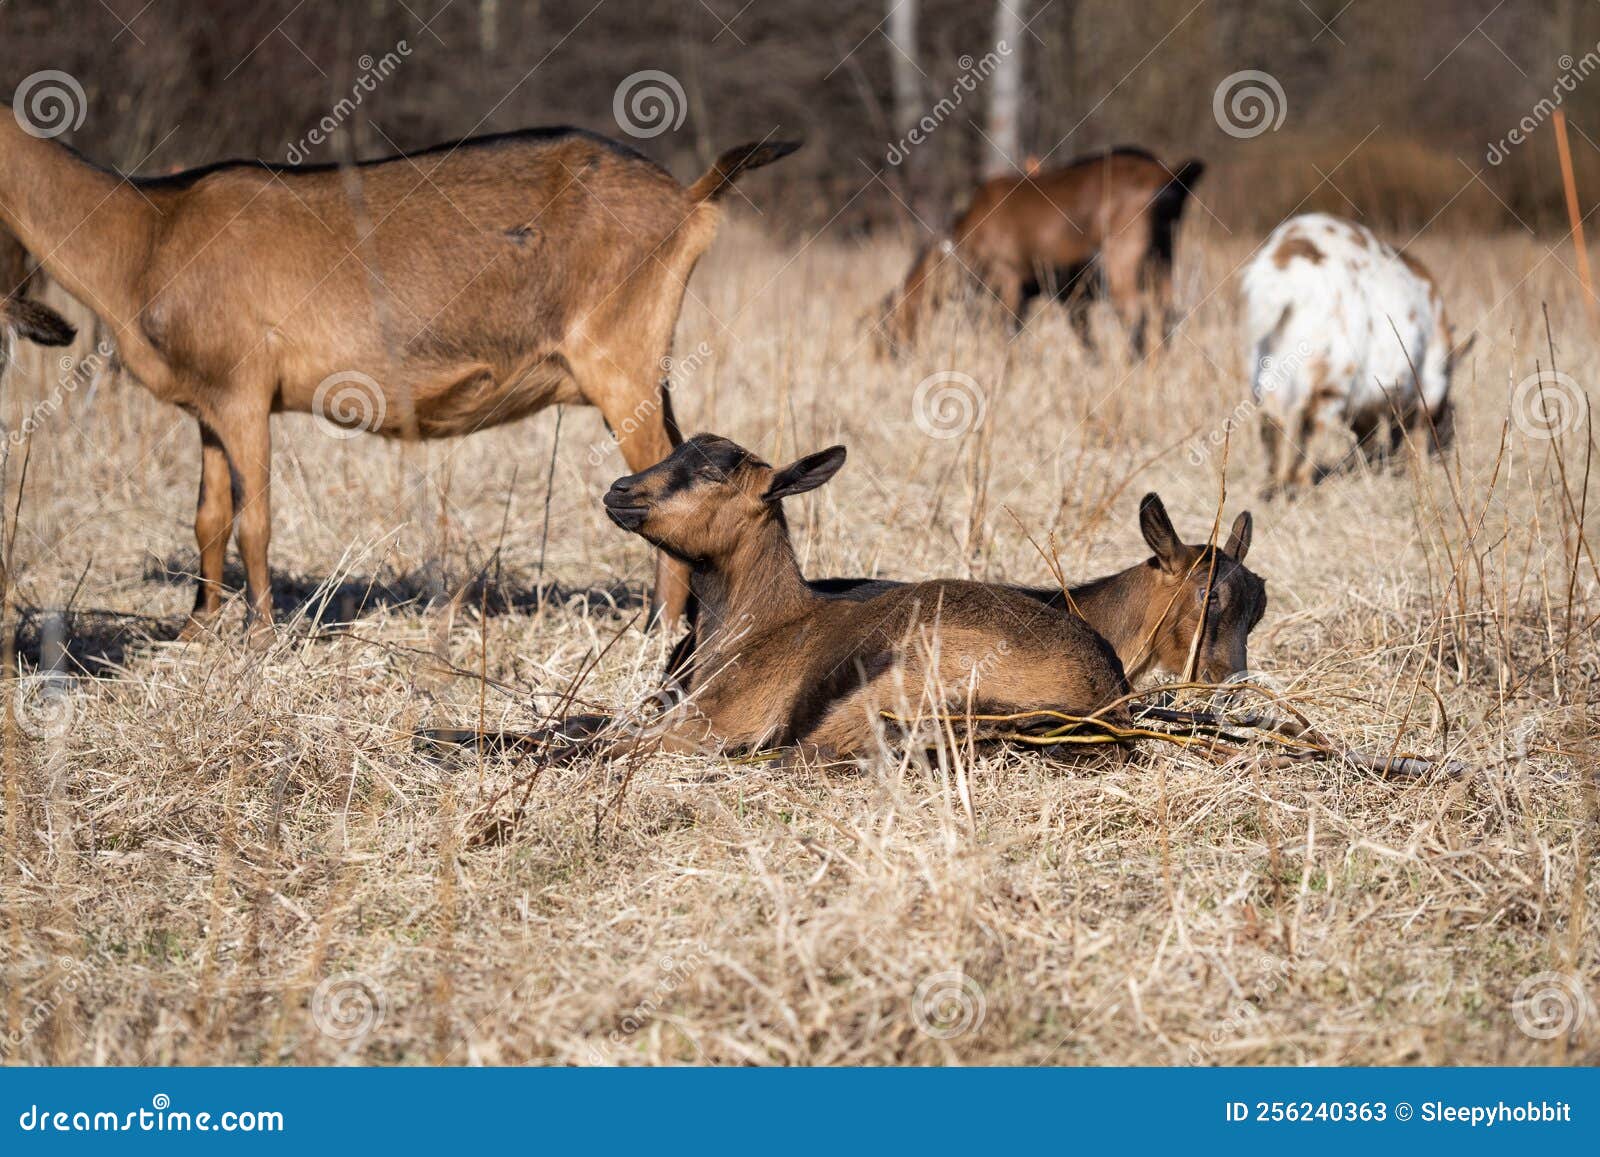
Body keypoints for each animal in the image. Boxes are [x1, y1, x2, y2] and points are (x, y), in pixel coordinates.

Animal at [0, 111, 798, 635]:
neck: (149, 234)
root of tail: (690, 197)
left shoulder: (245, 392)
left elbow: (255, 519)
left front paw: (261, 638)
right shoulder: (209, 405)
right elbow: (209, 518)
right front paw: (197, 632)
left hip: (618, 363)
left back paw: (657, 630)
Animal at [587, 433, 1130, 759]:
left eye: (713, 474)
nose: (619, 490)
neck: (765, 625)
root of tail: (1106, 698)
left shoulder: (713, 725)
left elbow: (609, 743)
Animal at [877, 148, 1204, 355]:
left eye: (887, 328)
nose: (893, 356)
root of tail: (1168, 177)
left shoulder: (1008, 283)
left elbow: (1006, 337)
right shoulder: (1058, 297)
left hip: (1121, 264)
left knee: (1135, 315)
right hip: (1162, 260)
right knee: (1167, 313)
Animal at [1242, 213, 1472, 498]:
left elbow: (1366, 431)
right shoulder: (1429, 381)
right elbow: (1415, 429)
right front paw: (1417, 472)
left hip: (1266, 365)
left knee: (1271, 420)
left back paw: (1272, 487)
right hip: (1334, 374)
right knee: (1311, 422)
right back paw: (1300, 484)